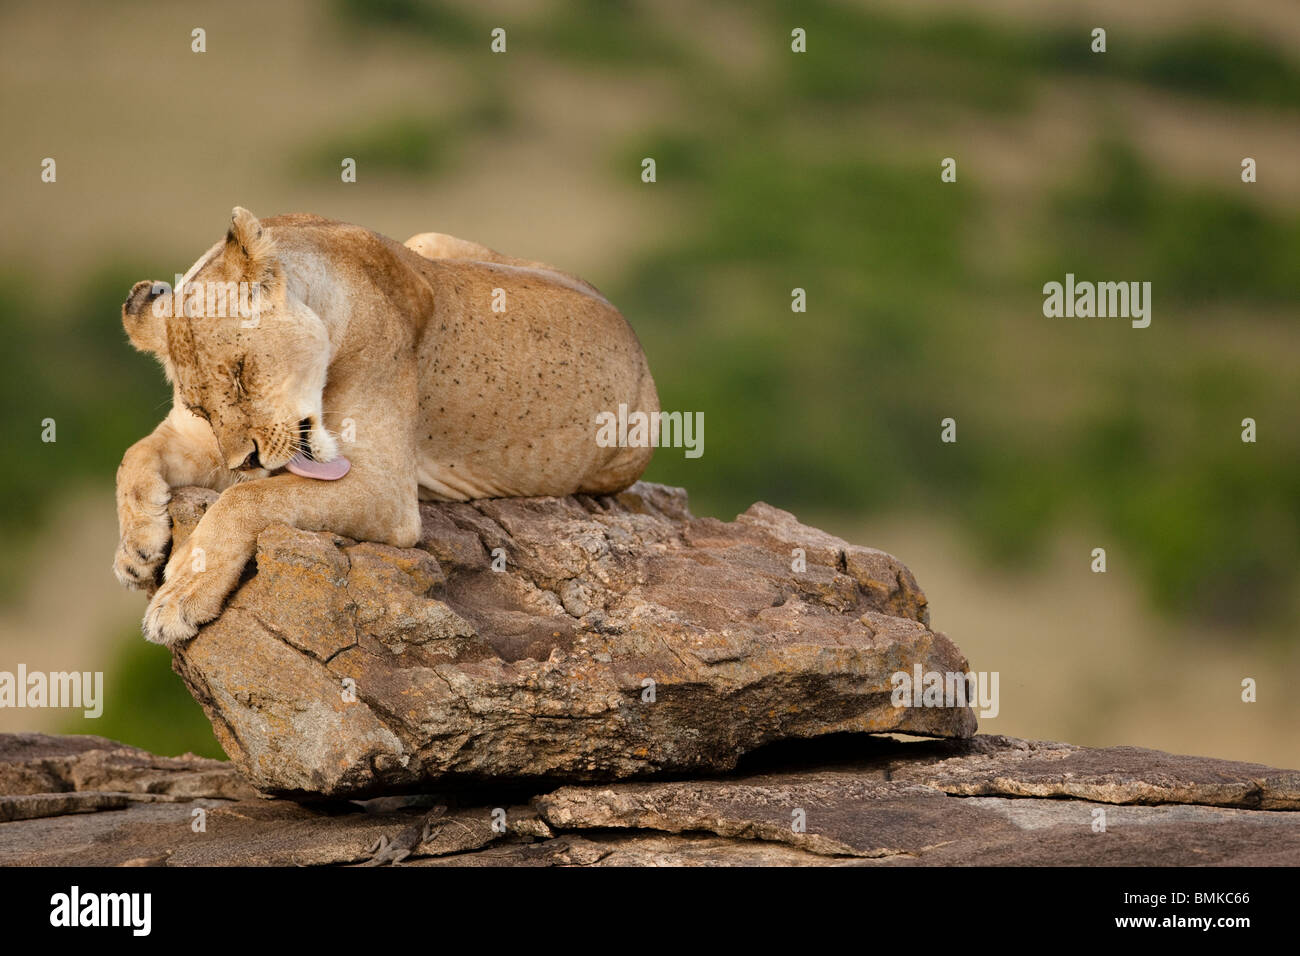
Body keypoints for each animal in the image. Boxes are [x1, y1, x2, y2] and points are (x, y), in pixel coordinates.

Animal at [115, 207, 659, 645]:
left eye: (242, 373)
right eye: (201, 408)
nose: (245, 460)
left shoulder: (387, 491)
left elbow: (244, 499)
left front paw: (181, 592)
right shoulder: (198, 441)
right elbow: (133, 456)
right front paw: (137, 550)